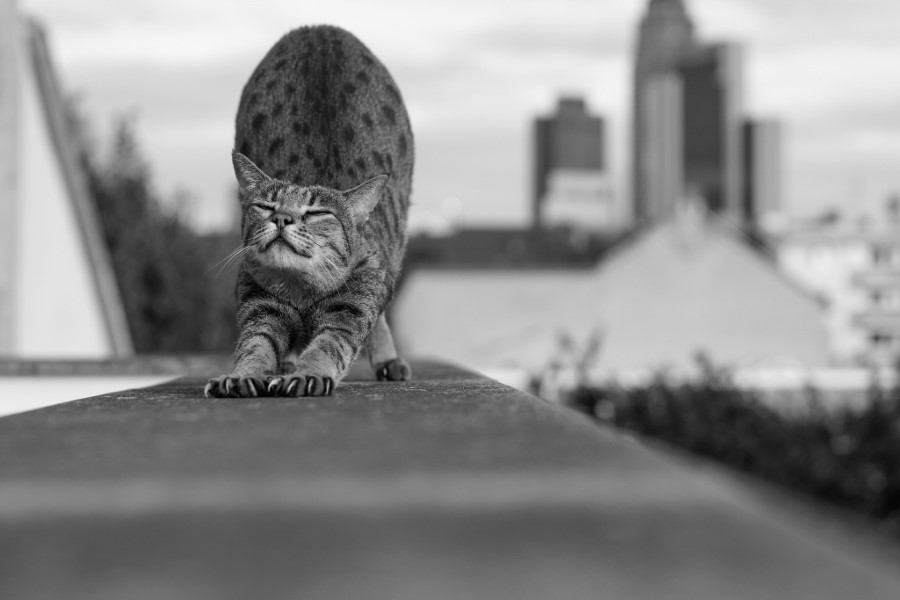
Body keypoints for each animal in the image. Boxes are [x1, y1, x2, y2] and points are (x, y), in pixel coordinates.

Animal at [204, 24, 412, 398]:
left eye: (316, 214)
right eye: (265, 206)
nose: (282, 218)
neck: (301, 292)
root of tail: (321, 28)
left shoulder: (350, 309)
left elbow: (329, 344)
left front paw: (308, 374)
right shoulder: (260, 309)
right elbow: (254, 347)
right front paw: (243, 376)